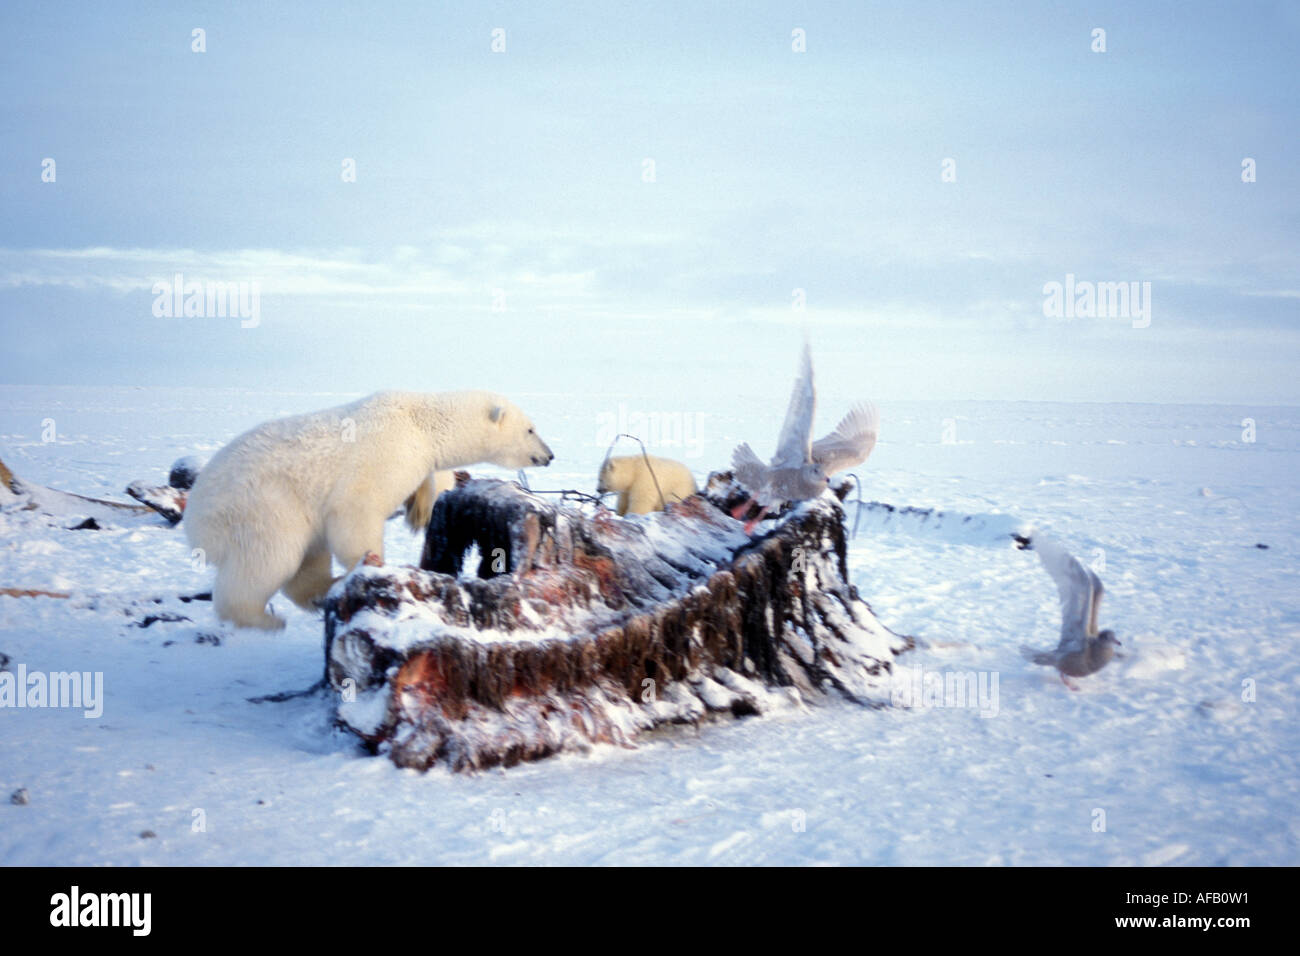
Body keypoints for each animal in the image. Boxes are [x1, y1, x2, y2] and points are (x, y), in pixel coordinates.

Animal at [184, 390, 553, 630]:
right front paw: (375, 563)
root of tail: (195, 521)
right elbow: (355, 510)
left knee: (307, 560)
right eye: (530, 429)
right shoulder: (384, 454)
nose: (549, 455)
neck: (419, 421)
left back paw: (323, 591)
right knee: (268, 559)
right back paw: (265, 620)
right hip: (262, 505)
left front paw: (421, 508)